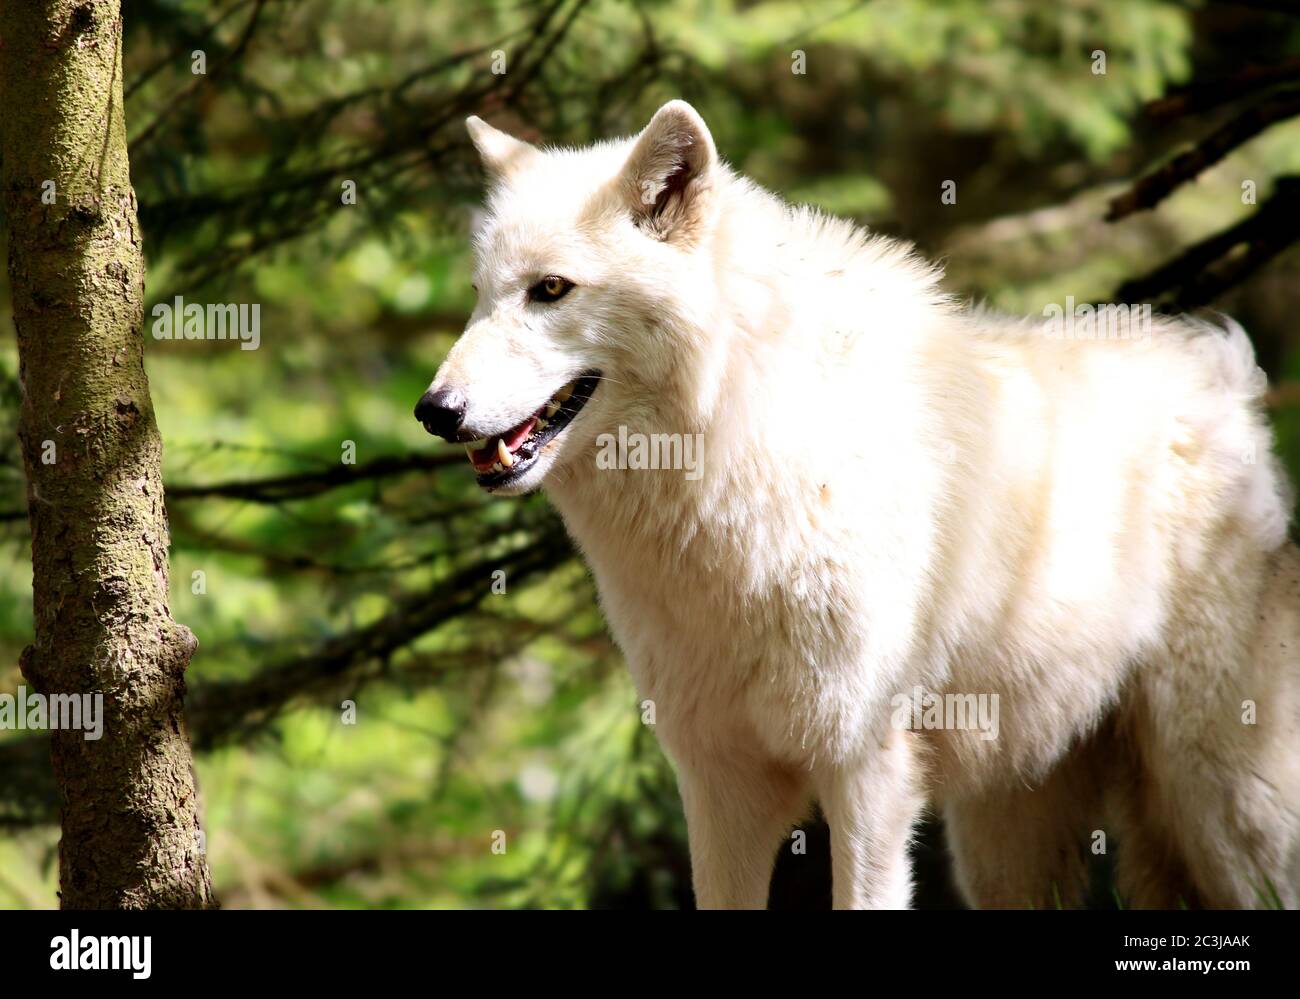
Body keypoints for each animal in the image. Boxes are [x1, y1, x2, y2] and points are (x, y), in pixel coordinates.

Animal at [415, 100, 1300, 909]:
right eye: (479, 296)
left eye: (550, 290)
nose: (434, 410)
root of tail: (1222, 363)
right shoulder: (717, 779)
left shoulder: (865, 770)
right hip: (1010, 843)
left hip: (1221, 805)